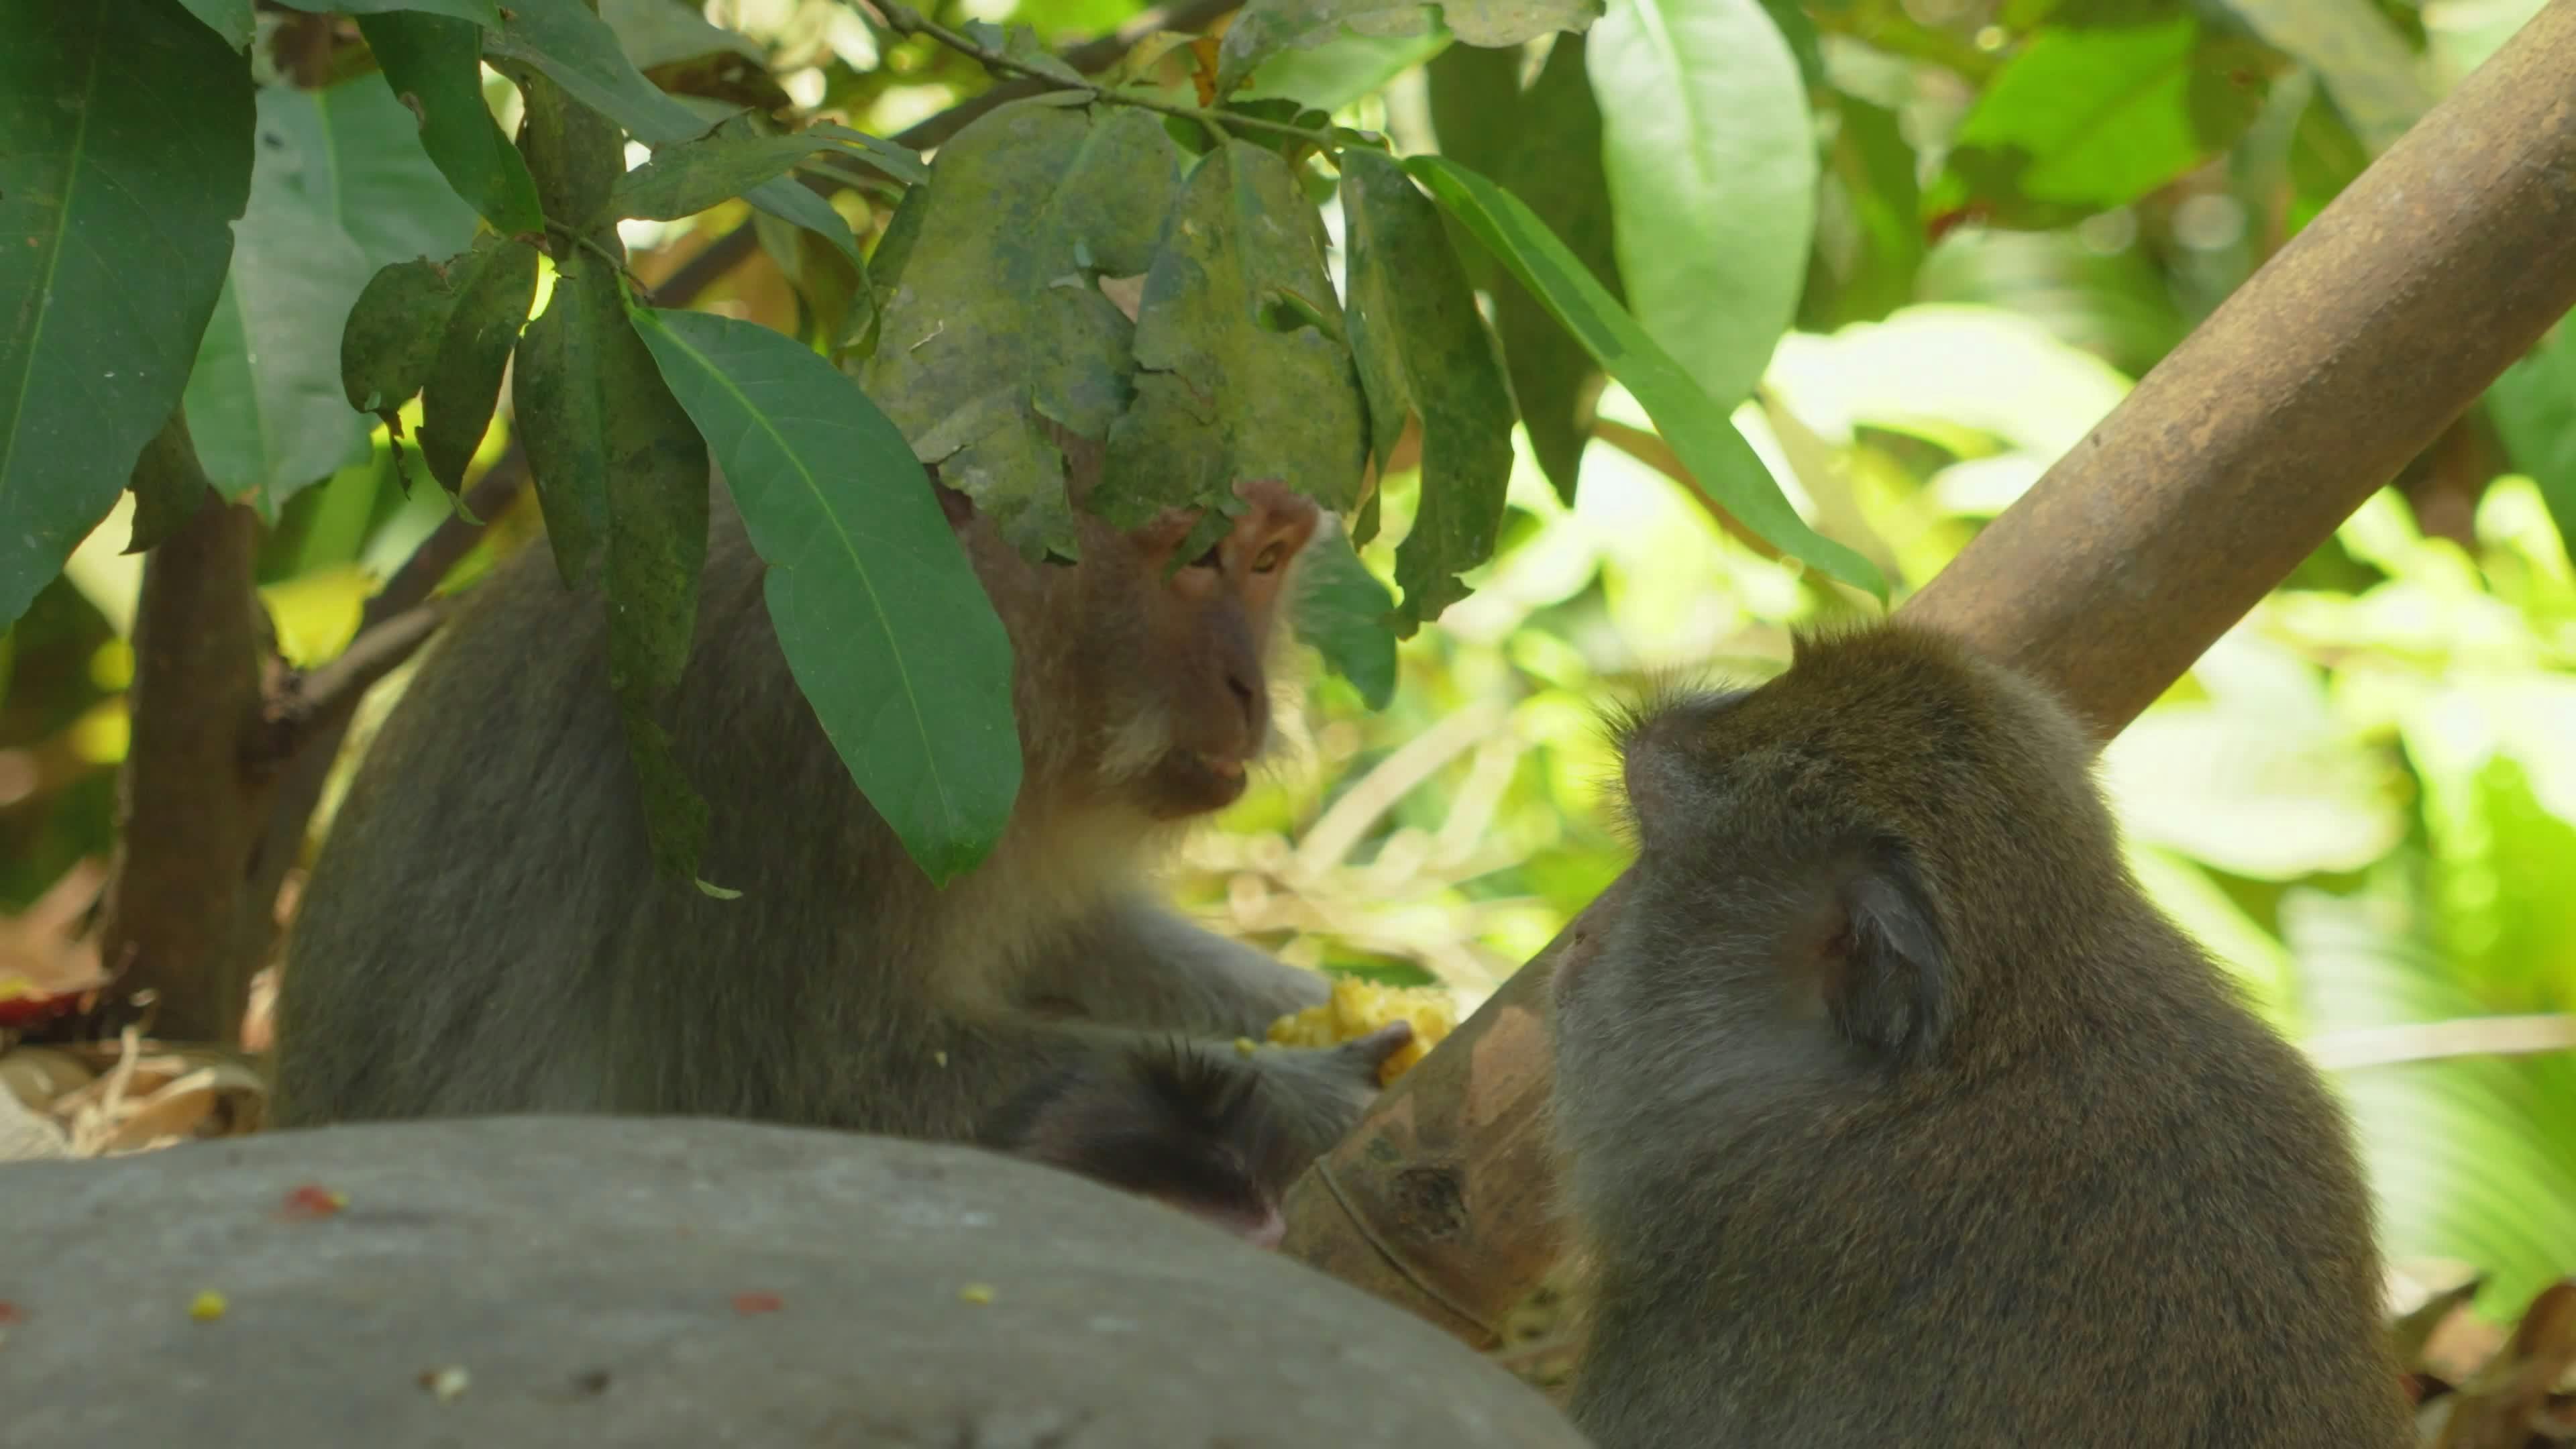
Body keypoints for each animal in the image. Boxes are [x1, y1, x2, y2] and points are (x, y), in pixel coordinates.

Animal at [272, 447, 1404, 1184]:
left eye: (1267, 562)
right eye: (1200, 557)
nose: (1249, 690)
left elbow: (1074, 940)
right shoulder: (786, 740)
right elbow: (803, 1089)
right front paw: (1309, 1098)